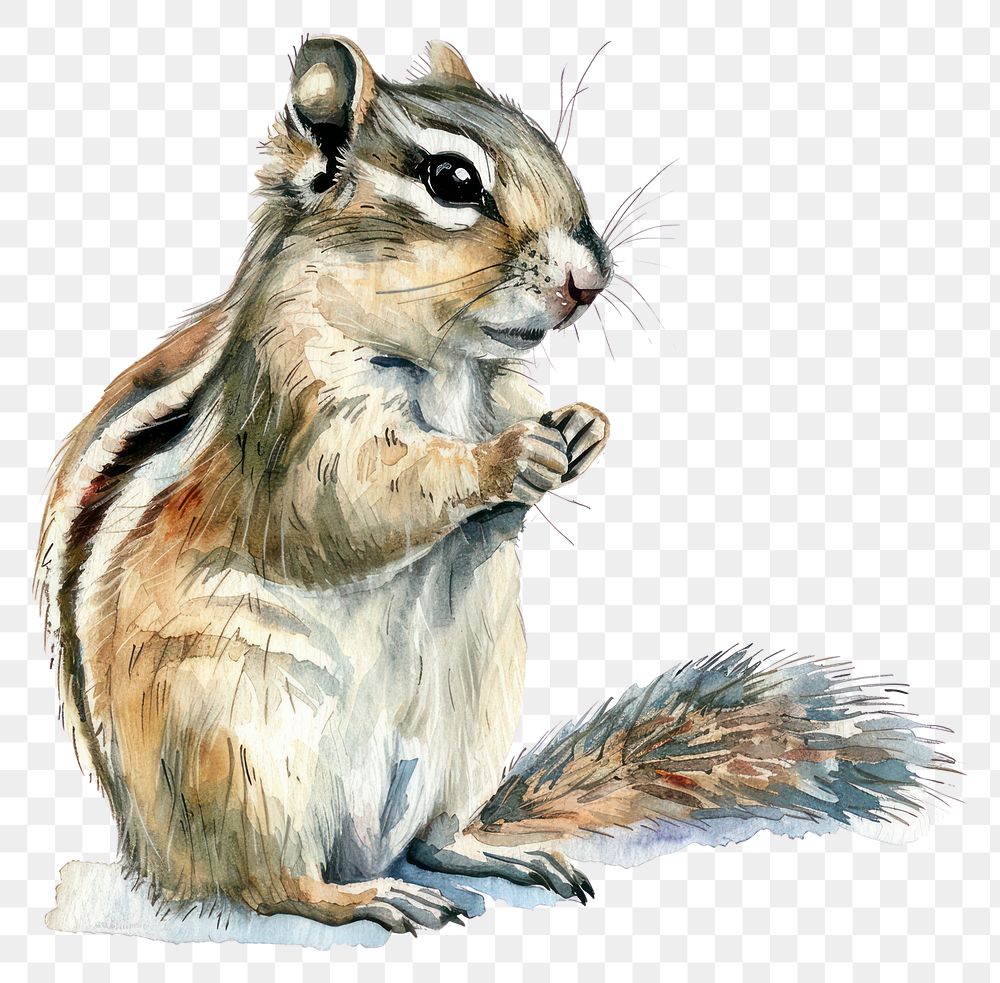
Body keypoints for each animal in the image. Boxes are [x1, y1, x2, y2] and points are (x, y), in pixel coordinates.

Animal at [36, 37, 950, 935]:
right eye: (452, 181)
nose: (589, 283)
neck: (452, 366)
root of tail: (155, 859)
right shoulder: (298, 414)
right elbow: (349, 498)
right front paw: (507, 458)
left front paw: (582, 428)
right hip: (242, 749)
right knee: (268, 882)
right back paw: (362, 896)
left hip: (473, 711)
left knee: (433, 837)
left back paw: (496, 853)